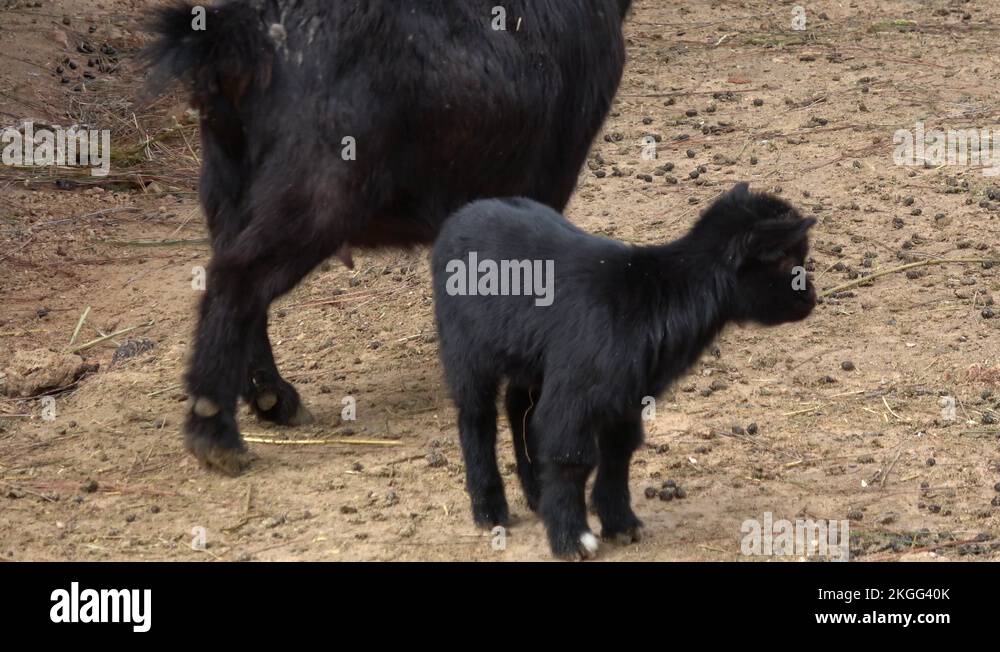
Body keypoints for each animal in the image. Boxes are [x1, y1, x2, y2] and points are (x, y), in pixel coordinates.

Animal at [143, 0, 632, 474]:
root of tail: (241, 32)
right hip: (313, 199)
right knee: (236, 282)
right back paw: (217, 435)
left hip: (227, 194)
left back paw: (274, 399)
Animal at [432, 184, 817, 559]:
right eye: (787, 260)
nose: (811, 299)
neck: (657, 297)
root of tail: (463, 215)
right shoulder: (577, 391)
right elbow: (570, 456)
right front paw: (571, 540)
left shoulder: (627, 395)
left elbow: (619, 452)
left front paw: (620, 524)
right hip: (464, 345)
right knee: (476, 416)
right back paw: (489, 508)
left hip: (529, 355)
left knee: (518, 406)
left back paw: (537, 494)